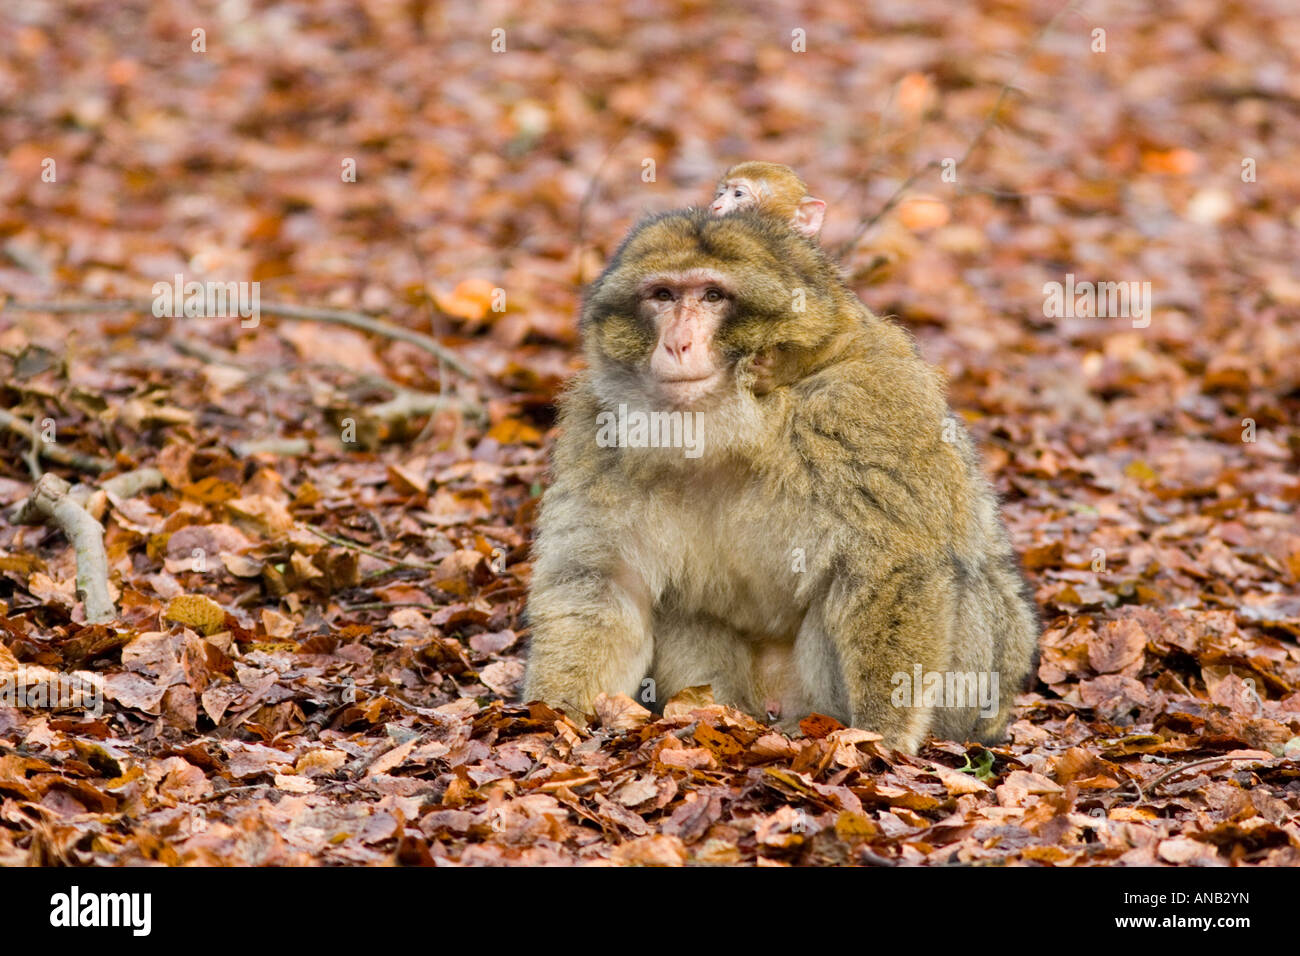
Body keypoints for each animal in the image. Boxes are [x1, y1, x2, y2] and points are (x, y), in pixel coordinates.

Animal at [523, 207, 1039, 753]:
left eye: (713, 295)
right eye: (663, 295)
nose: (677, 342)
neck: (740, 423)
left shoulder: (860, 409)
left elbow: (889, 569)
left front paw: (880, 738)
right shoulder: (597, 430)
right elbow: (600, 581)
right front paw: (553, 720)